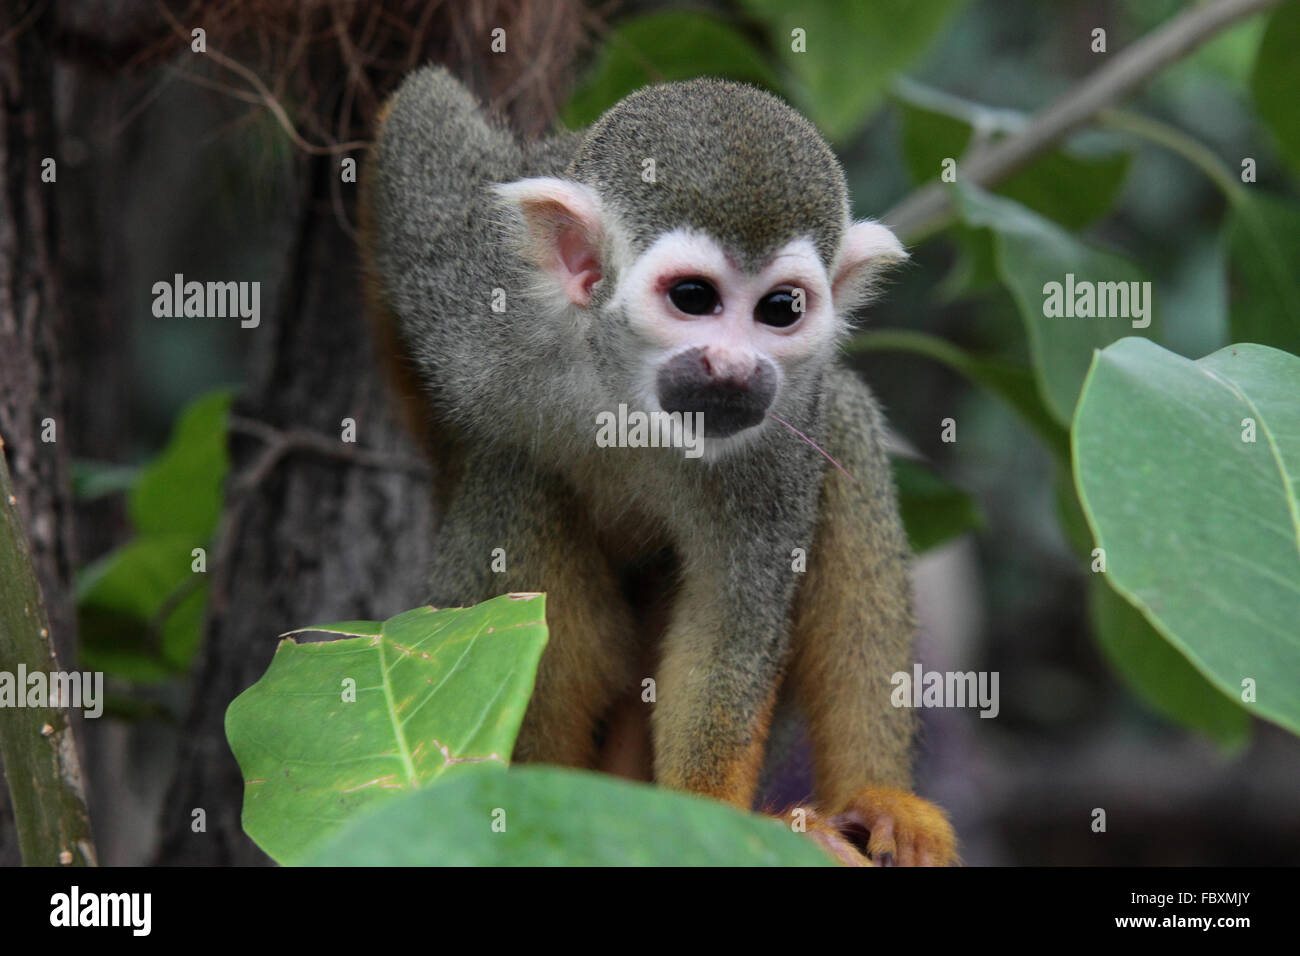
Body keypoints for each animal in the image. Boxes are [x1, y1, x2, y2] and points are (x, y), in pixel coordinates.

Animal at [360, 67, 958, 866]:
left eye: (781, 309)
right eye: (694, 299)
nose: (734, 370)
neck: (625, 389)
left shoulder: (779, 428)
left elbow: (728, 627)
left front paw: (712, 817)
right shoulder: (469, 295)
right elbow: (418, 120)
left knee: (848, 424)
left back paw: (881, 797)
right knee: (517, 484)